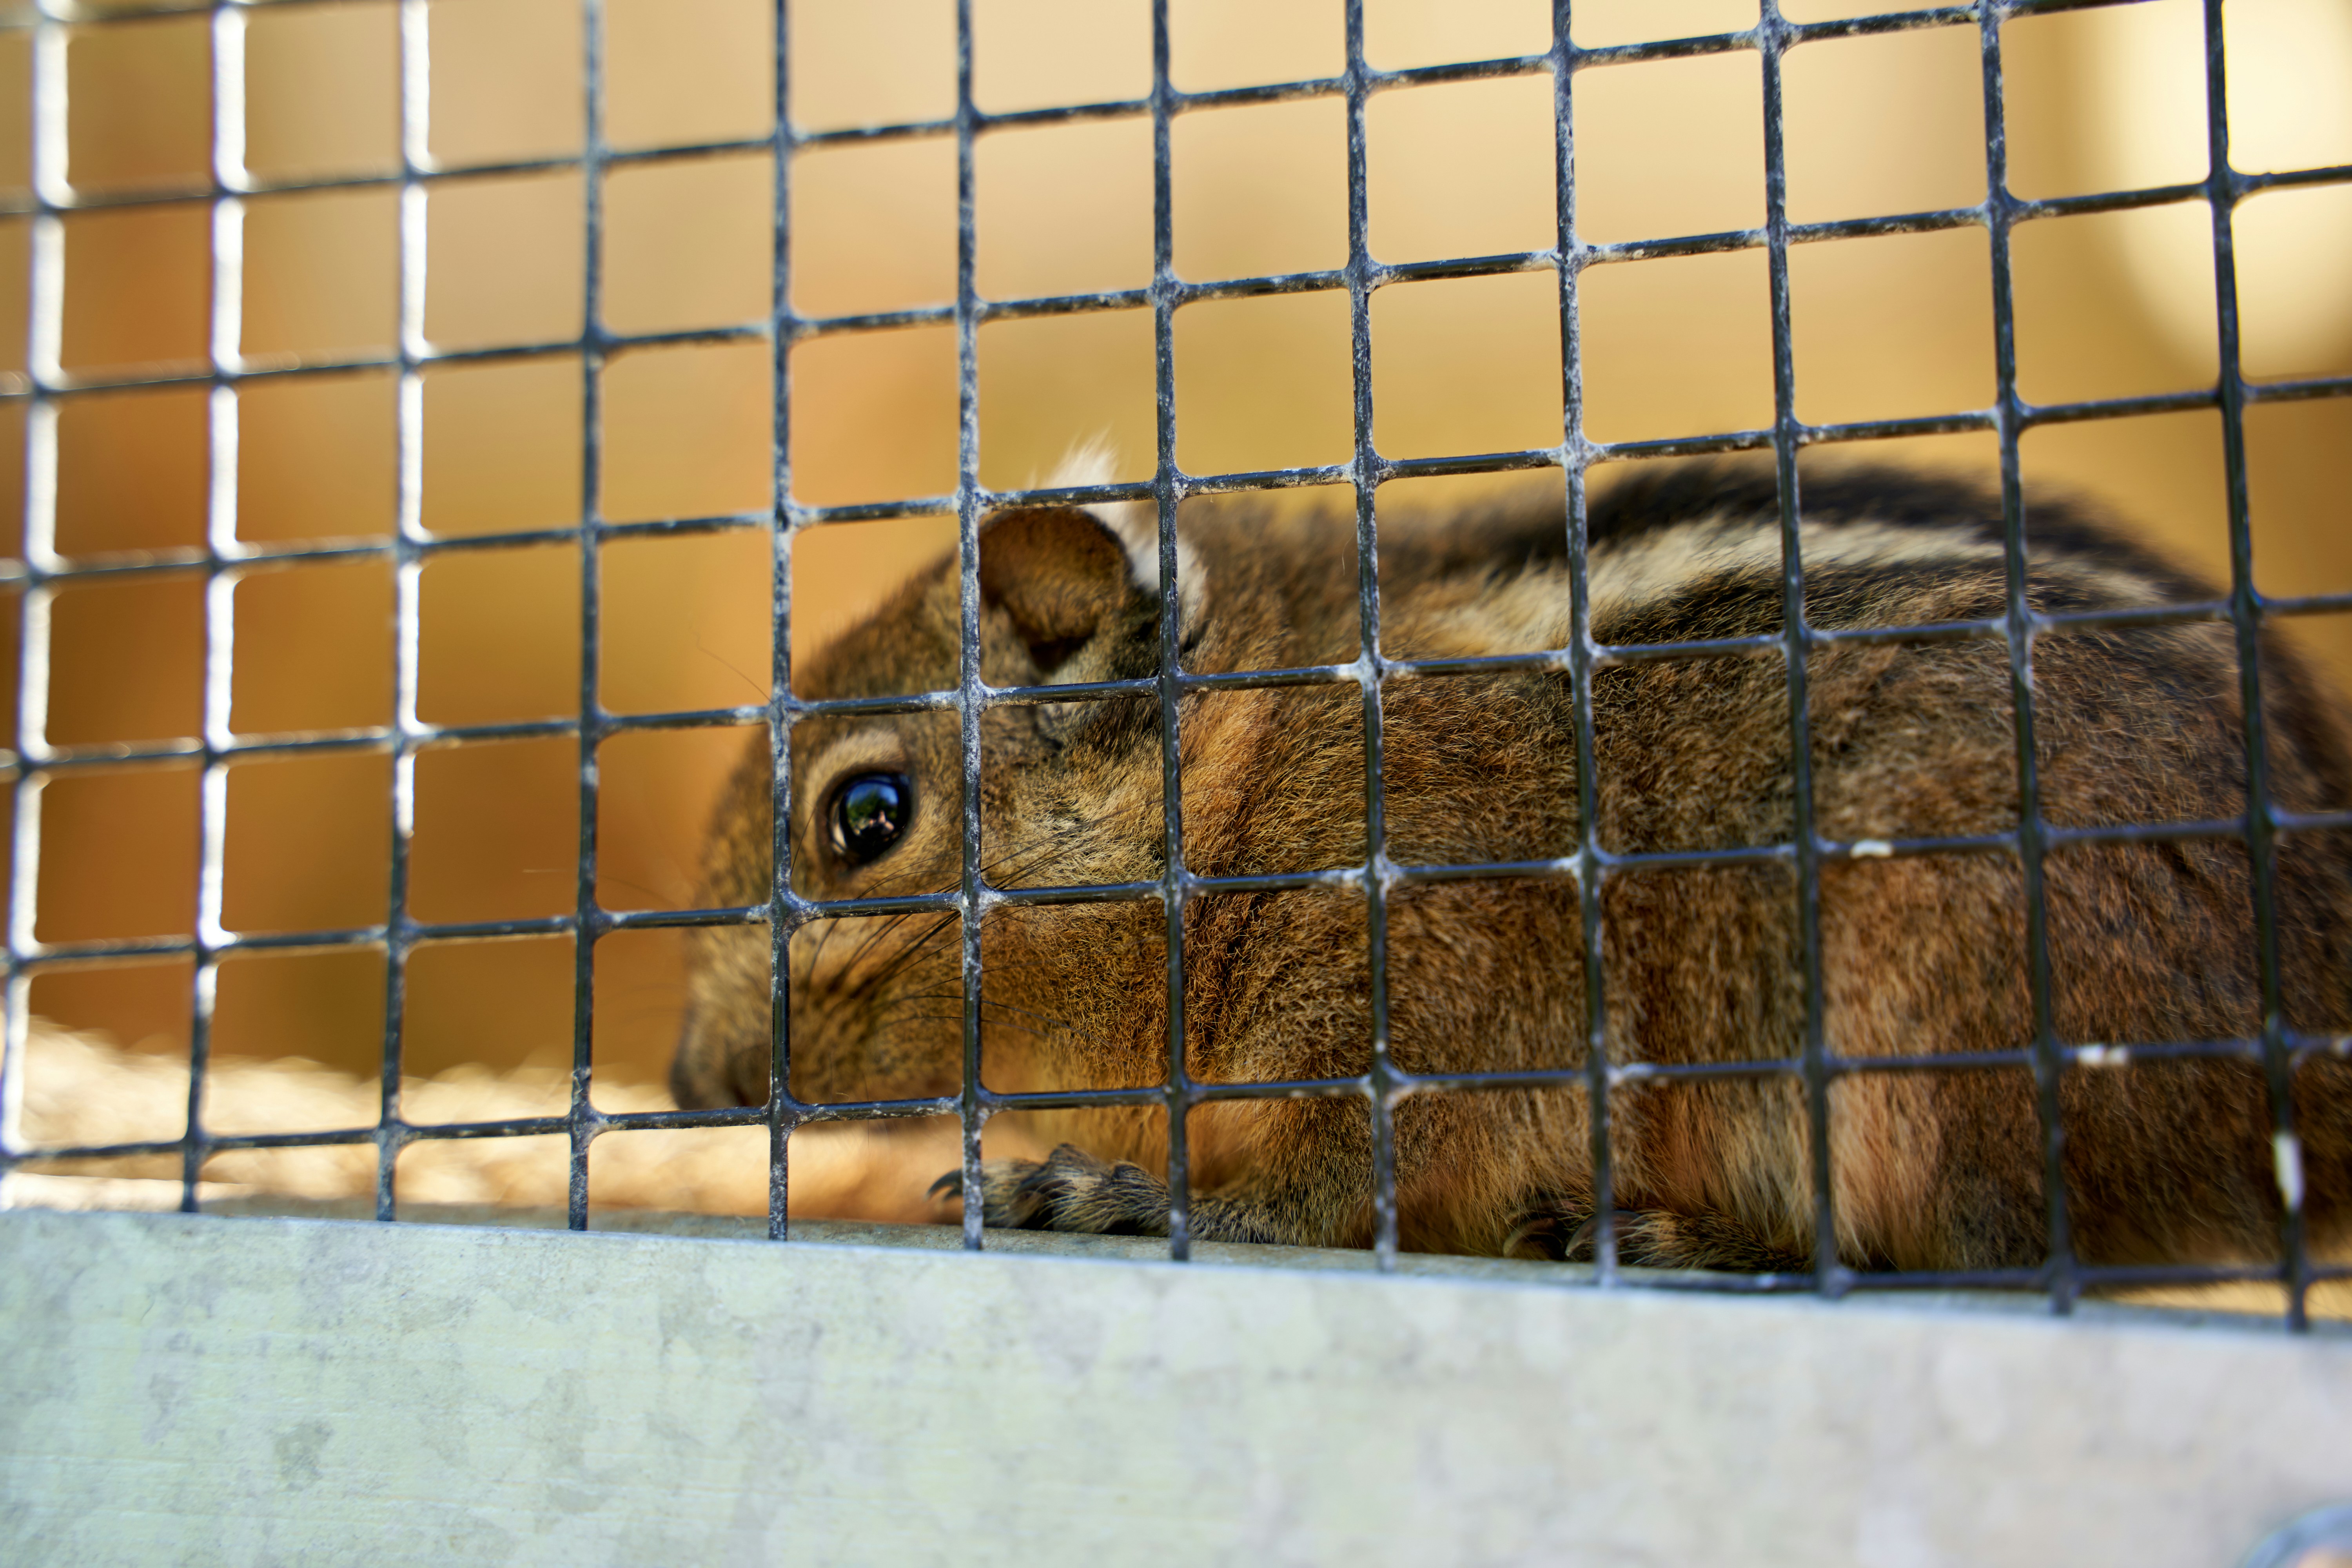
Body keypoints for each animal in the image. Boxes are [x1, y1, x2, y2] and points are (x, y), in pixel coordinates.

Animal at [670, 461, 2352, 1273]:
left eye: (866, 816)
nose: (693, 1081)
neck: (1251, 787)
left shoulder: (1448, 1003)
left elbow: (1332, 1189)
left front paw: (1110, 1197)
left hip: (1922, 1004)